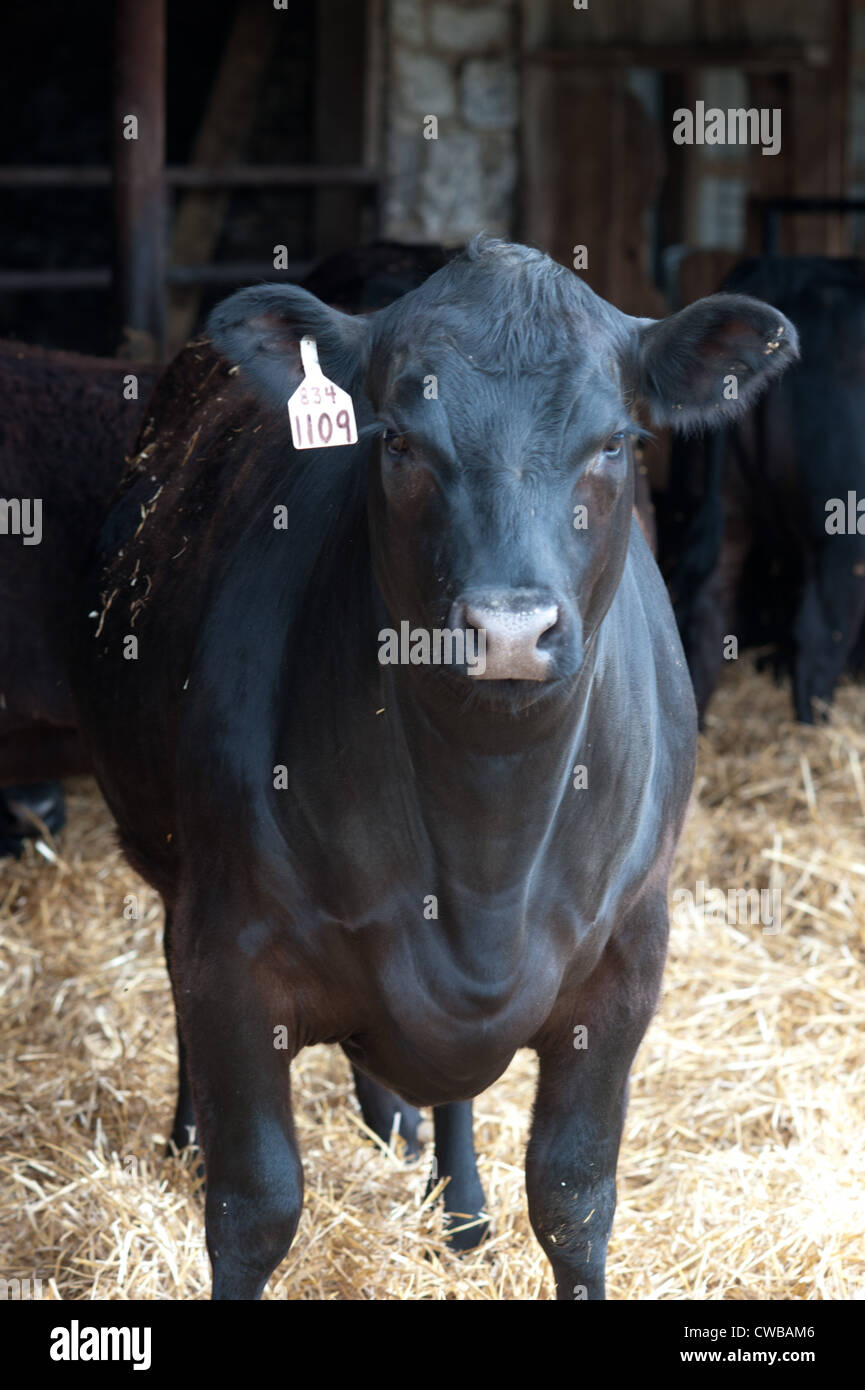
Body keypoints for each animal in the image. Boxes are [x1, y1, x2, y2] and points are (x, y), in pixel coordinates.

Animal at [72, 237, 797, 1299]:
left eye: (614, 442)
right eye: (397, 443)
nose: (509, 630)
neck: (483, 845)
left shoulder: (629, 958)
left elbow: (574, 1198)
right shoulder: (228, 952)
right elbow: (254, 1207)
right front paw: (218, 1158)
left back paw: (452, 1197)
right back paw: (195, 1136)